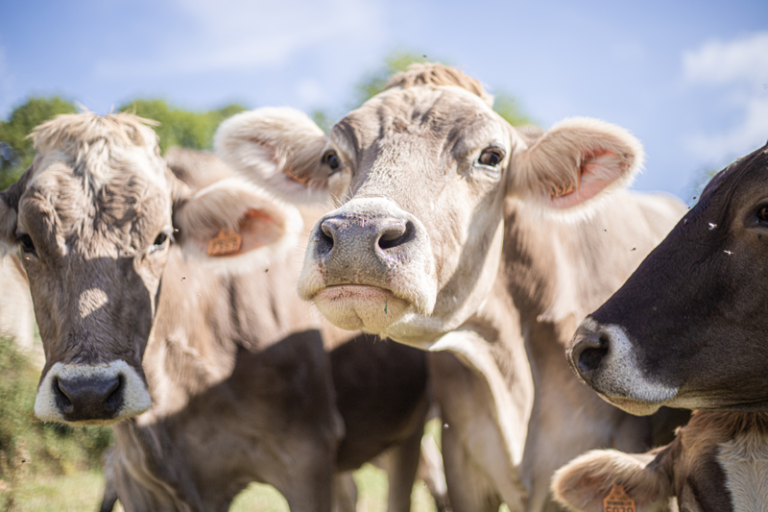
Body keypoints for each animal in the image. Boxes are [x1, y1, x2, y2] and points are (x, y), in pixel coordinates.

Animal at [0, 113, 433, 512]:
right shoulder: (135, 478)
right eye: (27, 240)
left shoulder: (308, 459)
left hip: (408, 431)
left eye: (161, 238)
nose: (88, 392)